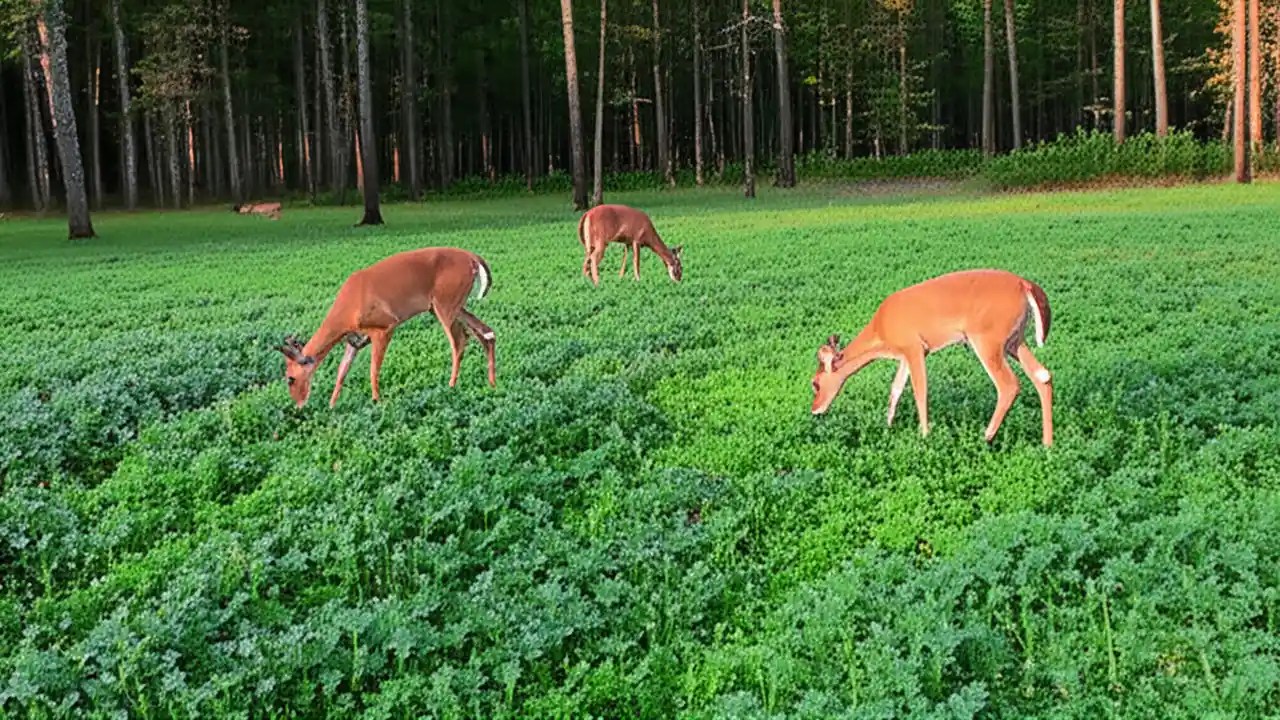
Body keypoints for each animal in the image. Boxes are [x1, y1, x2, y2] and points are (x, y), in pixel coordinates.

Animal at [275, 247, 497, 409]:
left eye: (290, 379)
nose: (298, 405)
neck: (348, 309)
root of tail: (472, 257)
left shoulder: (385, 327)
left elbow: (374, 368)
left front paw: (377, 400)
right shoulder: (354, 339)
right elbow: (342, 370)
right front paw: (332, 405)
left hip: (445, 303)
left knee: (459, 341)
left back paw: (451, 386)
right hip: (449, 305)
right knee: (486, 332)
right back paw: (491, 383)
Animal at [810, 269, 1055, 446]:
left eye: (815, 383)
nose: (814, 410)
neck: (881, 333)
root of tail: (1025, 284)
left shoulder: (914, 347)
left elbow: (920, 390)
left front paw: (924, 435)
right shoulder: (905, 354)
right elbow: (895, 389)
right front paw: (888, 426)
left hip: (987, 338)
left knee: (1009, 384)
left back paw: (986, 437)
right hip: (1015, 340)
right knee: (1043, 375)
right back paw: (1047, 443)